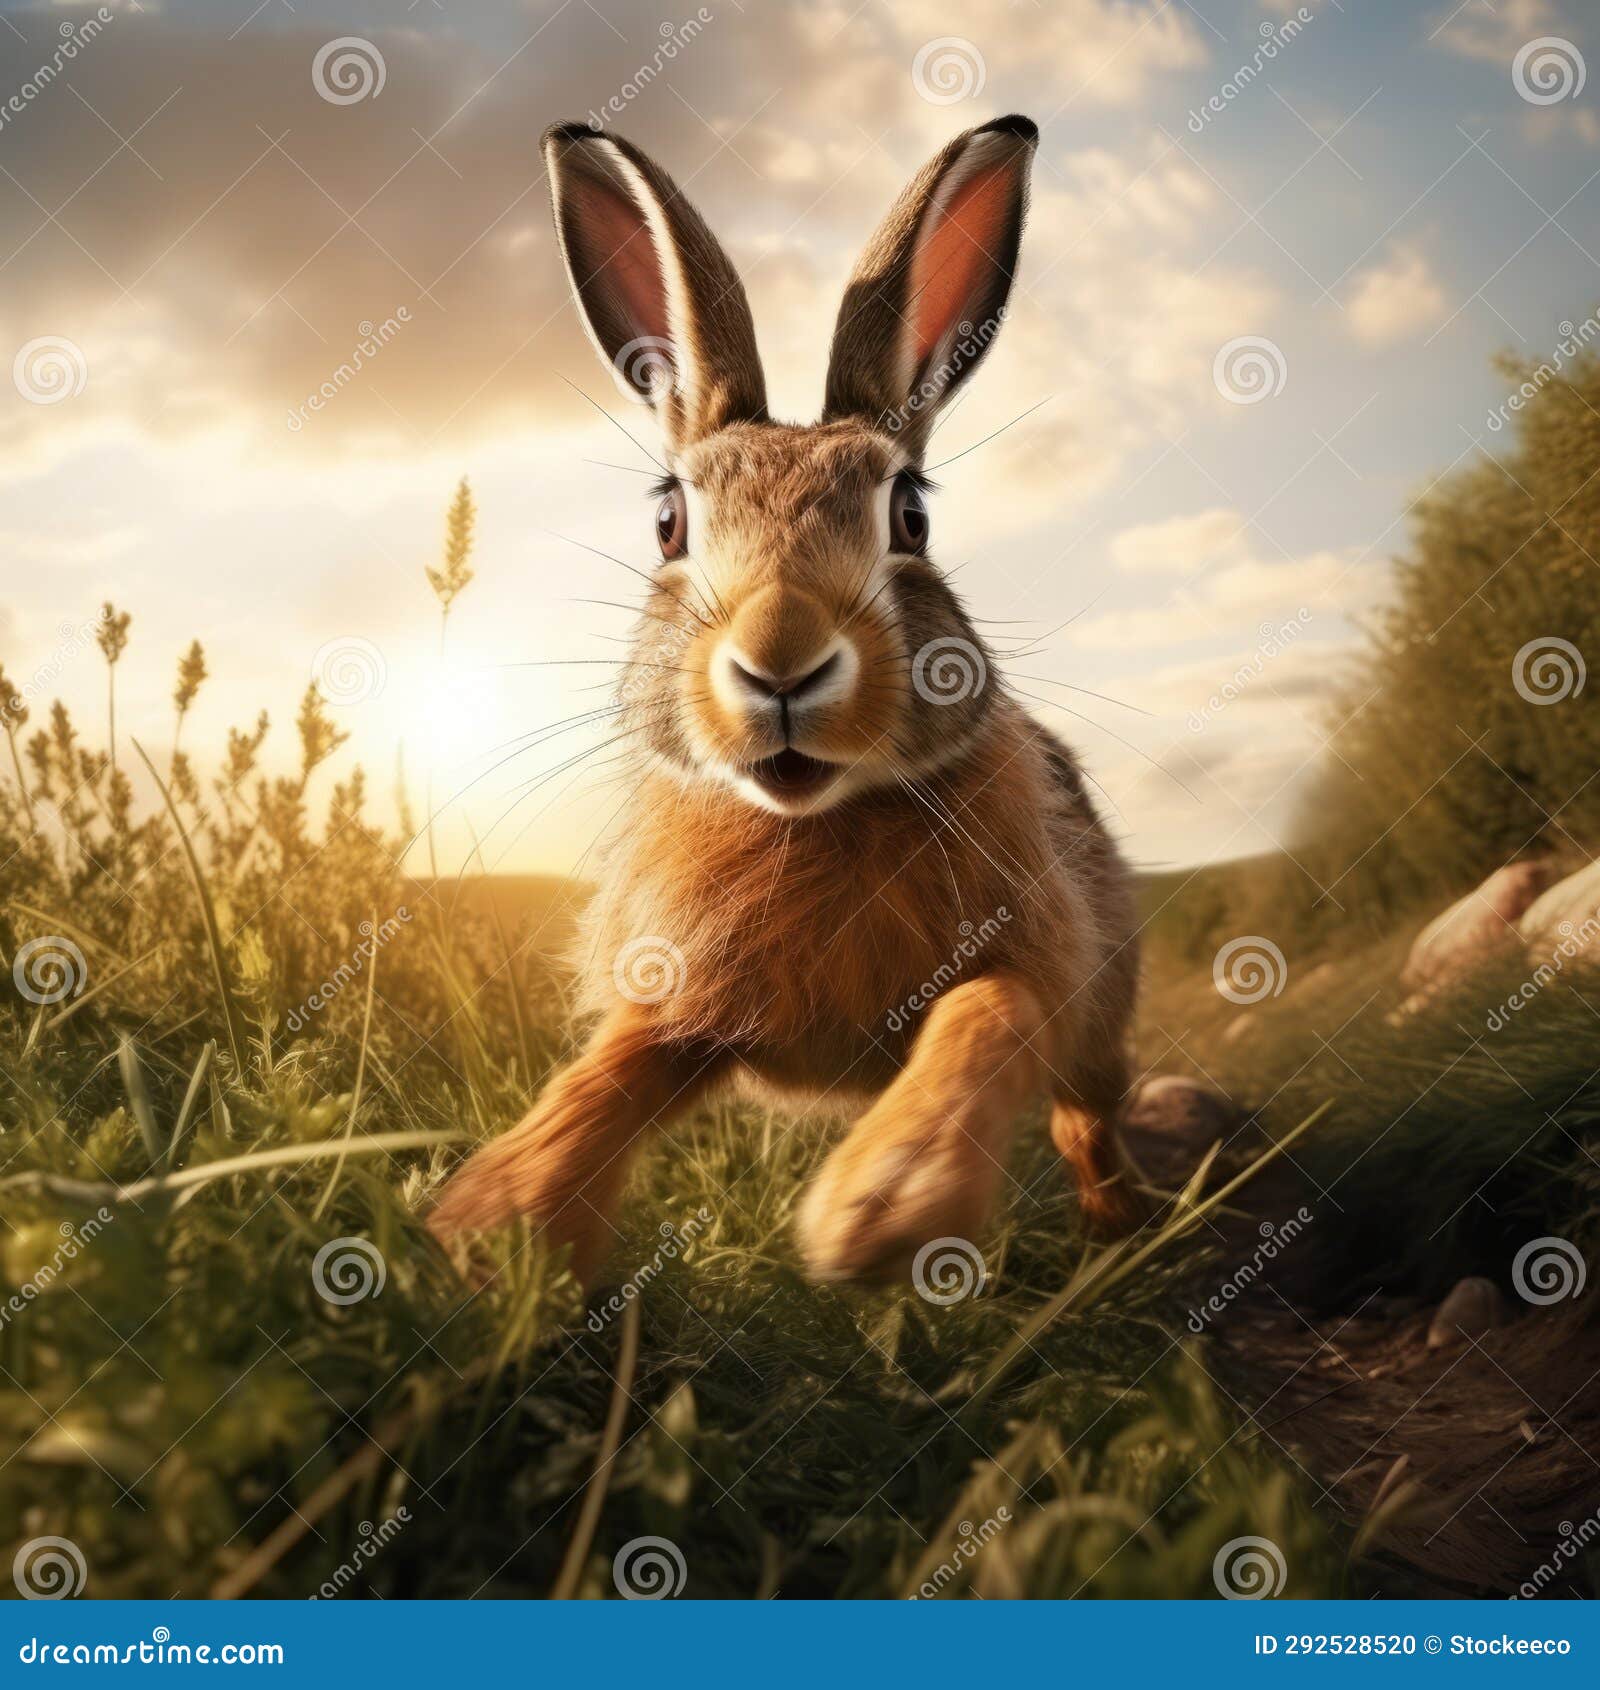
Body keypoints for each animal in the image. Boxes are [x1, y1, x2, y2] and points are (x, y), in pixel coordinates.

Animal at [427, 113, 1145, 1285]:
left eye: (911, 516)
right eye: (668, 522)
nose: (780, 662)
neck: (815, 822)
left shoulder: (1039, 962)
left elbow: (984, 1012)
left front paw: (884, 1205)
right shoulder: (677, 1004)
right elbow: (602, 1073)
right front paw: (494, 1224)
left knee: (1089, 1120)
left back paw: (1117, 1232)